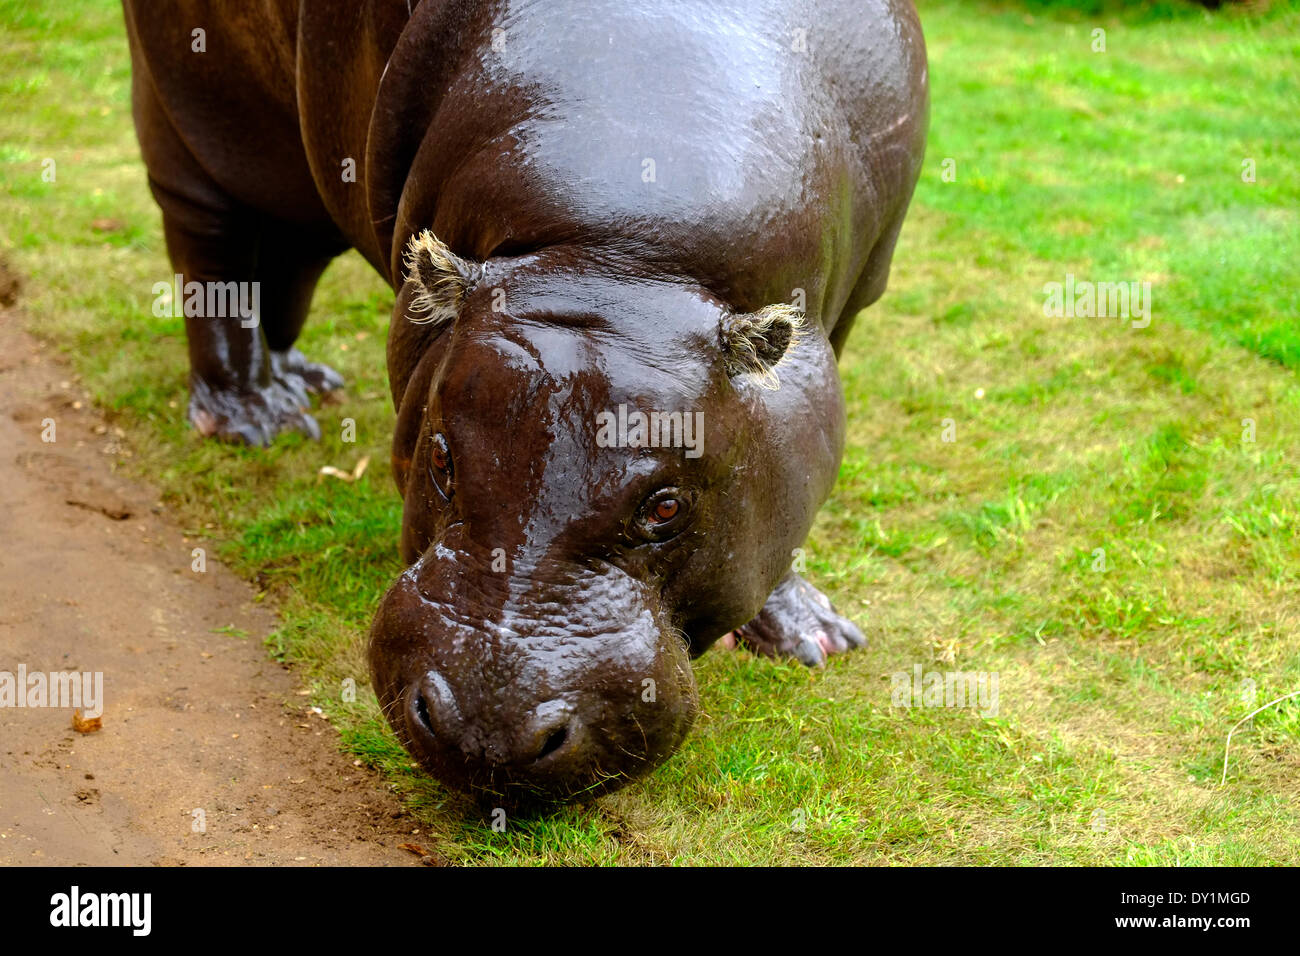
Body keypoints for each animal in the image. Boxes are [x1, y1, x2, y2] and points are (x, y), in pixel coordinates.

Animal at [123, 0, 927, 802]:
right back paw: (256, 417)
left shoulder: (836, 325)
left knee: (293, 249)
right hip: (203, 118)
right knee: (216, 246)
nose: (486, 730)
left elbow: (793, 468)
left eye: (666, 506)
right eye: (440, 459)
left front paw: (816, 639)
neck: (620, 257)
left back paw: (302, 382)